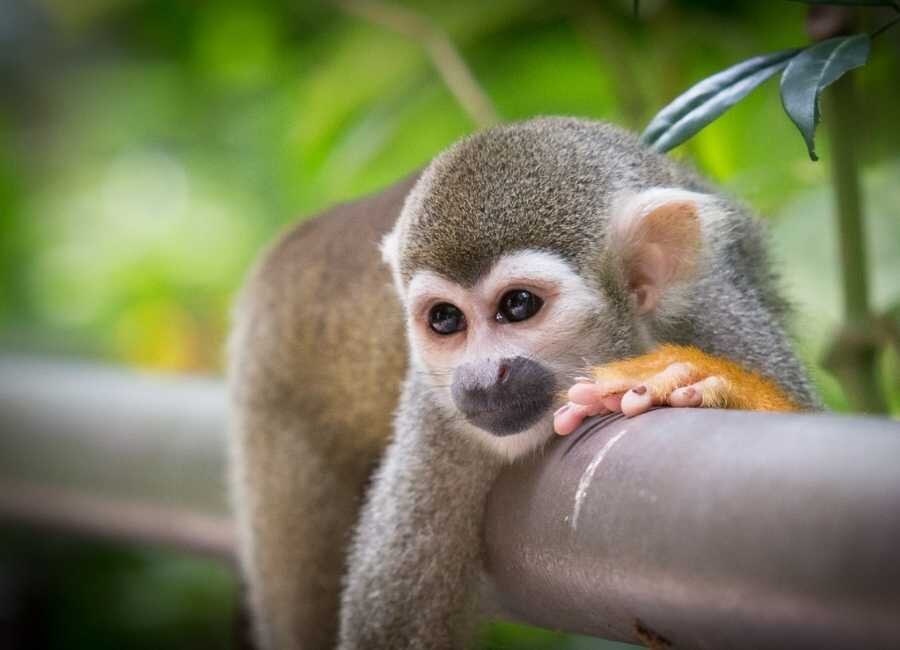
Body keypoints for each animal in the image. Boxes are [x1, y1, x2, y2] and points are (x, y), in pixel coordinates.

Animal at [228, 117, 819, 650]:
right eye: (445, 319)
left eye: (517, 305)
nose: (480, 377)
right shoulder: (435, 421)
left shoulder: (719, 316)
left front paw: (704, 380)